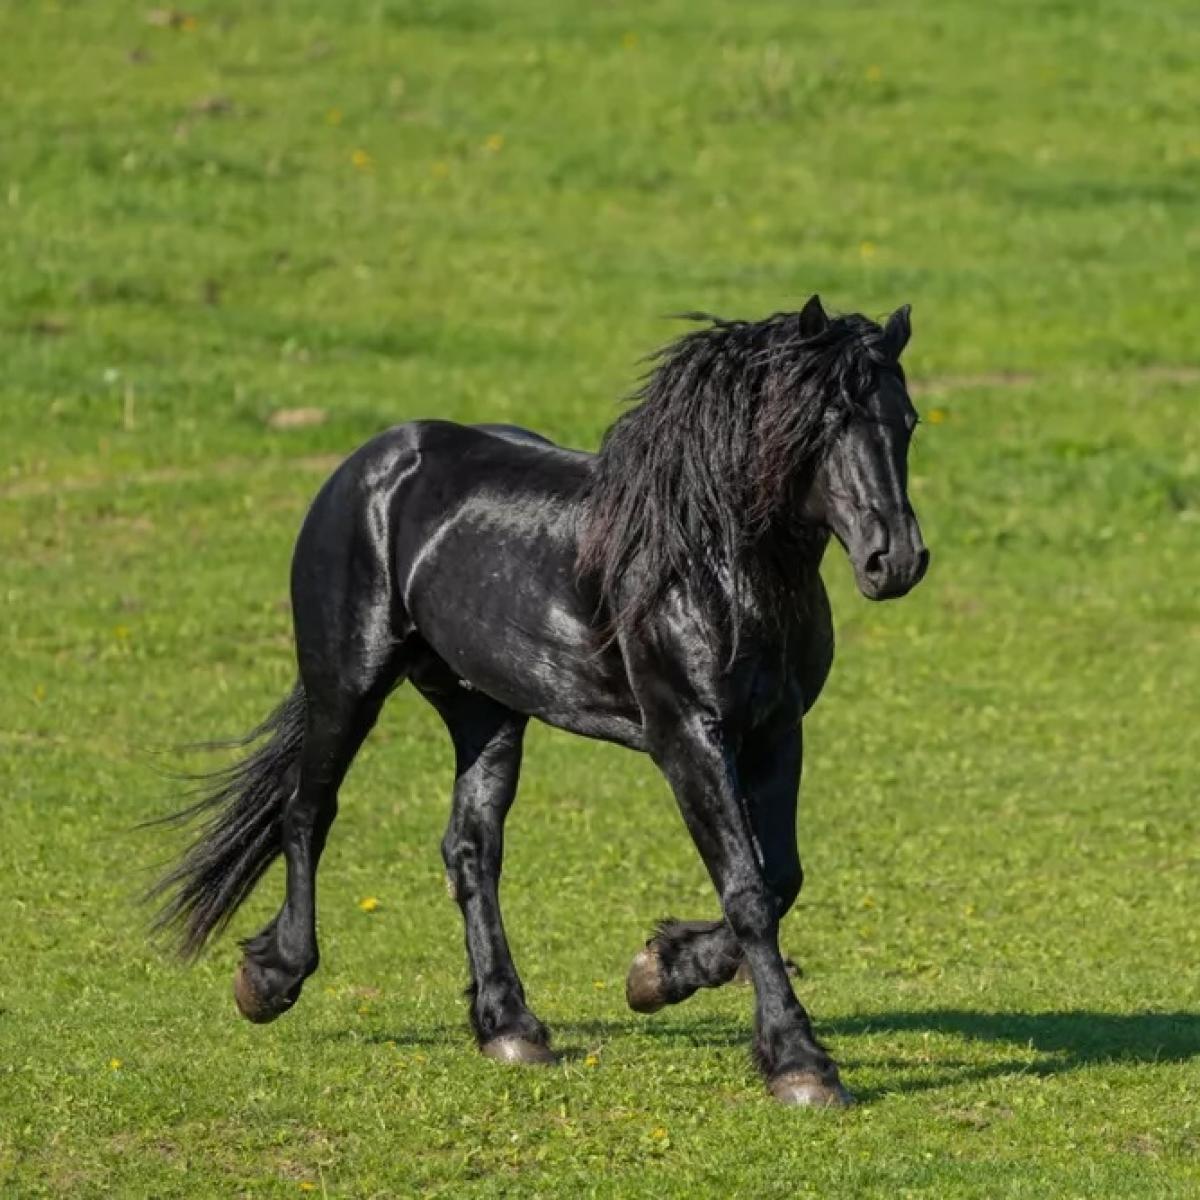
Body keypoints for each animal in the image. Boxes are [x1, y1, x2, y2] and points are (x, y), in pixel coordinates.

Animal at [150, 294, 929, 1108]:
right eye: (824, 422)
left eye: (907, 421)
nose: (896, 560)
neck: (710, 568)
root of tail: (371, 464)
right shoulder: (687, 734)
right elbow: (746, 886)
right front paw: (798, 1062)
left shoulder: (777, 731)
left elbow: (779, 878)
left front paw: (658, 972)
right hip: (347, 680)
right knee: (308, 813)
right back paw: (272, 979)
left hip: (485, 711)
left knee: (470, 850)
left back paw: (510, 1027)